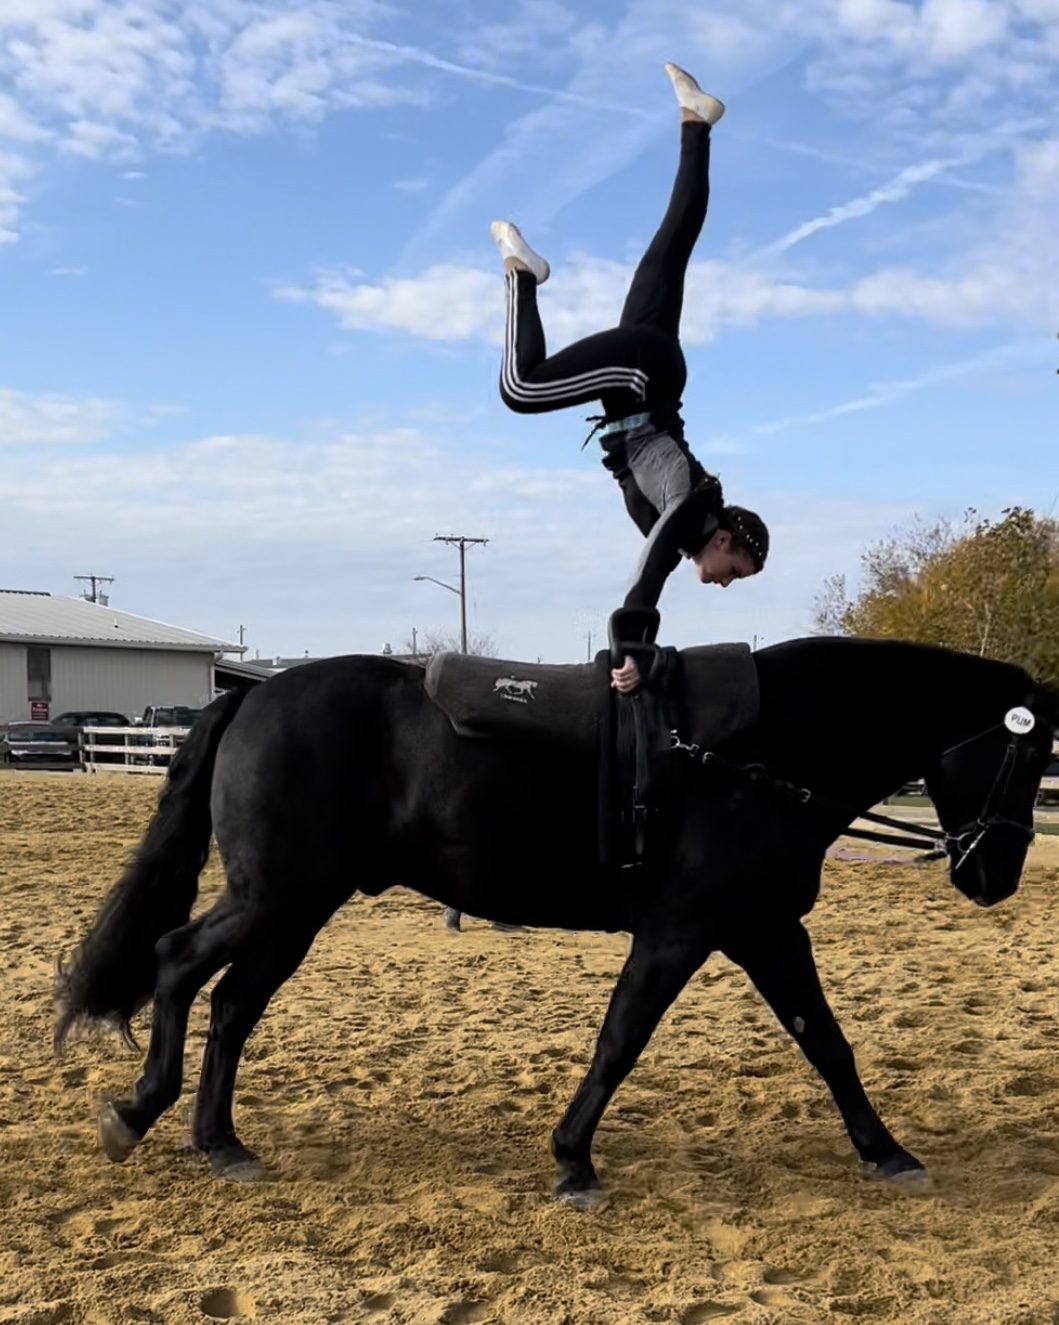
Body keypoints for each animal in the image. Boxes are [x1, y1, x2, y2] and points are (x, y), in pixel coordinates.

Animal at [55, 636, 1058, 1206]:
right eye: (1029, 749)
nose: (995, 873)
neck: (760, 752)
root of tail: (252, 693)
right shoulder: (682, 931)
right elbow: (619, 1041)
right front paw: (573, 1160)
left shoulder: (765, 928)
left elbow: (827, 1042)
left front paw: (886, 1151)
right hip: (273, 896)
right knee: (177, 962)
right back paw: (139, 1112)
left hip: (300, 907)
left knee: (233, 1005)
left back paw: (220, 1141)